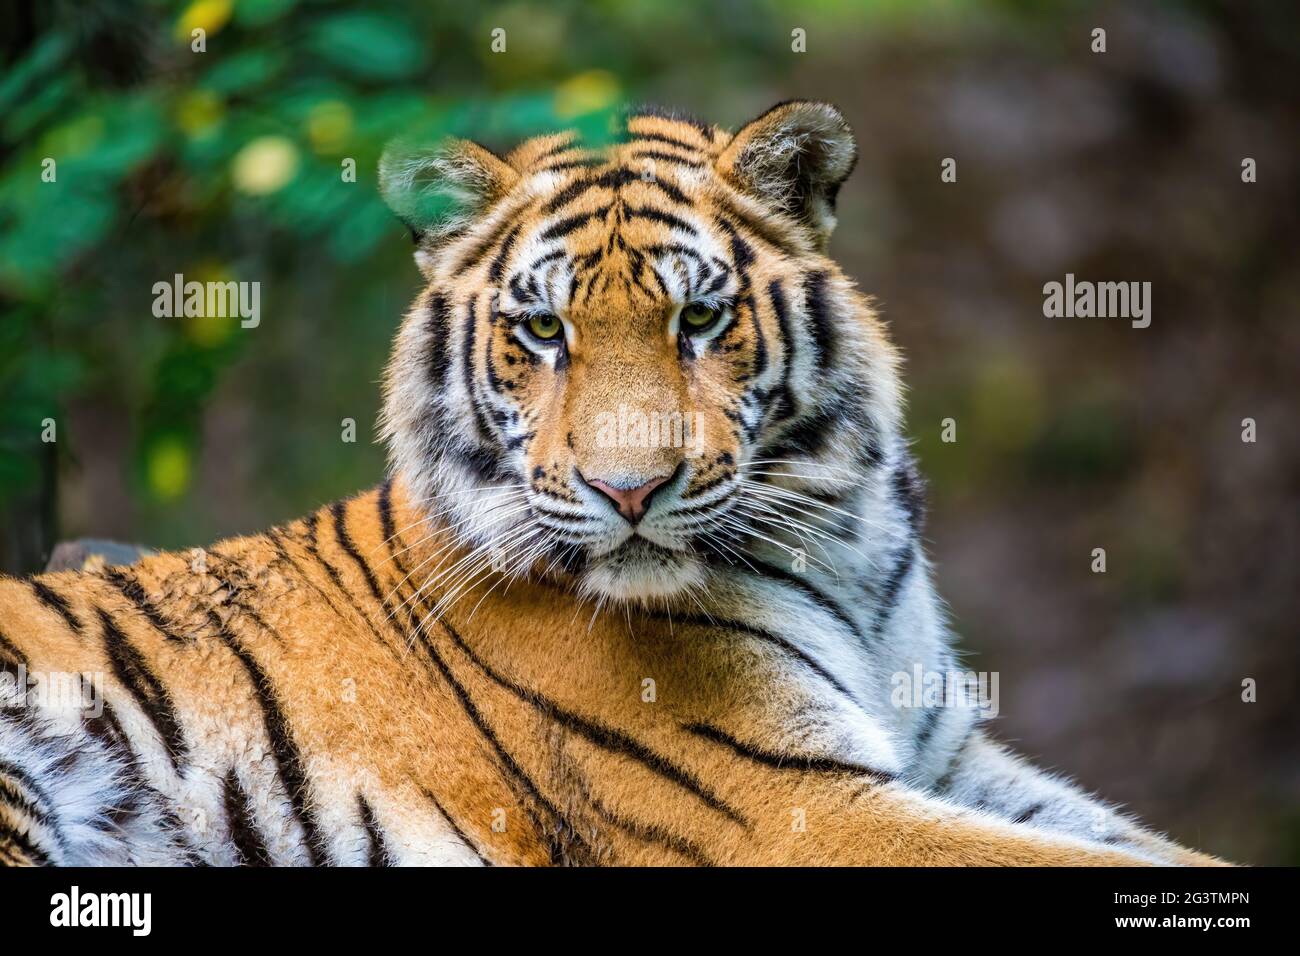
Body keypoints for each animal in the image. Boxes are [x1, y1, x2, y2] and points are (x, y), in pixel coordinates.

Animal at [0, 101, 1221, 866]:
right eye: (543, 329)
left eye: (701, 317)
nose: (629, 491)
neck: (842, 538)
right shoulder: (785, 801)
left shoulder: (944, 754)